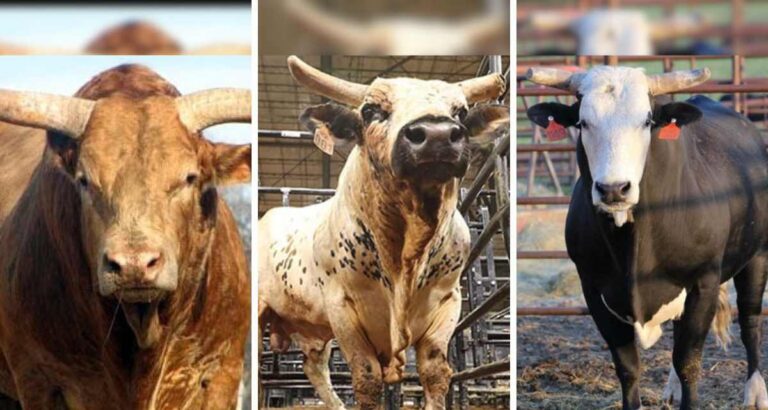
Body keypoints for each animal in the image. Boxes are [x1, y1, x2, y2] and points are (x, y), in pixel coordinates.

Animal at [258, 56, 507, 409]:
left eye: (459, 112)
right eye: (370, 110)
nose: (437, 135)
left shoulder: (448, 301)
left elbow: (435, 373)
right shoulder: (342, 308)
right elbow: (367, 377)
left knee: (315, 367)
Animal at [526, 65, 768, 409]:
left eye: (646, 121)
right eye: (583, 123)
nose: (613, 189)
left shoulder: (703, 284)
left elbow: (689, 362)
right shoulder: (594, 290)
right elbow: (628, 367)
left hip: (757, 256)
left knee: (750, 321)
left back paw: (756, 392)